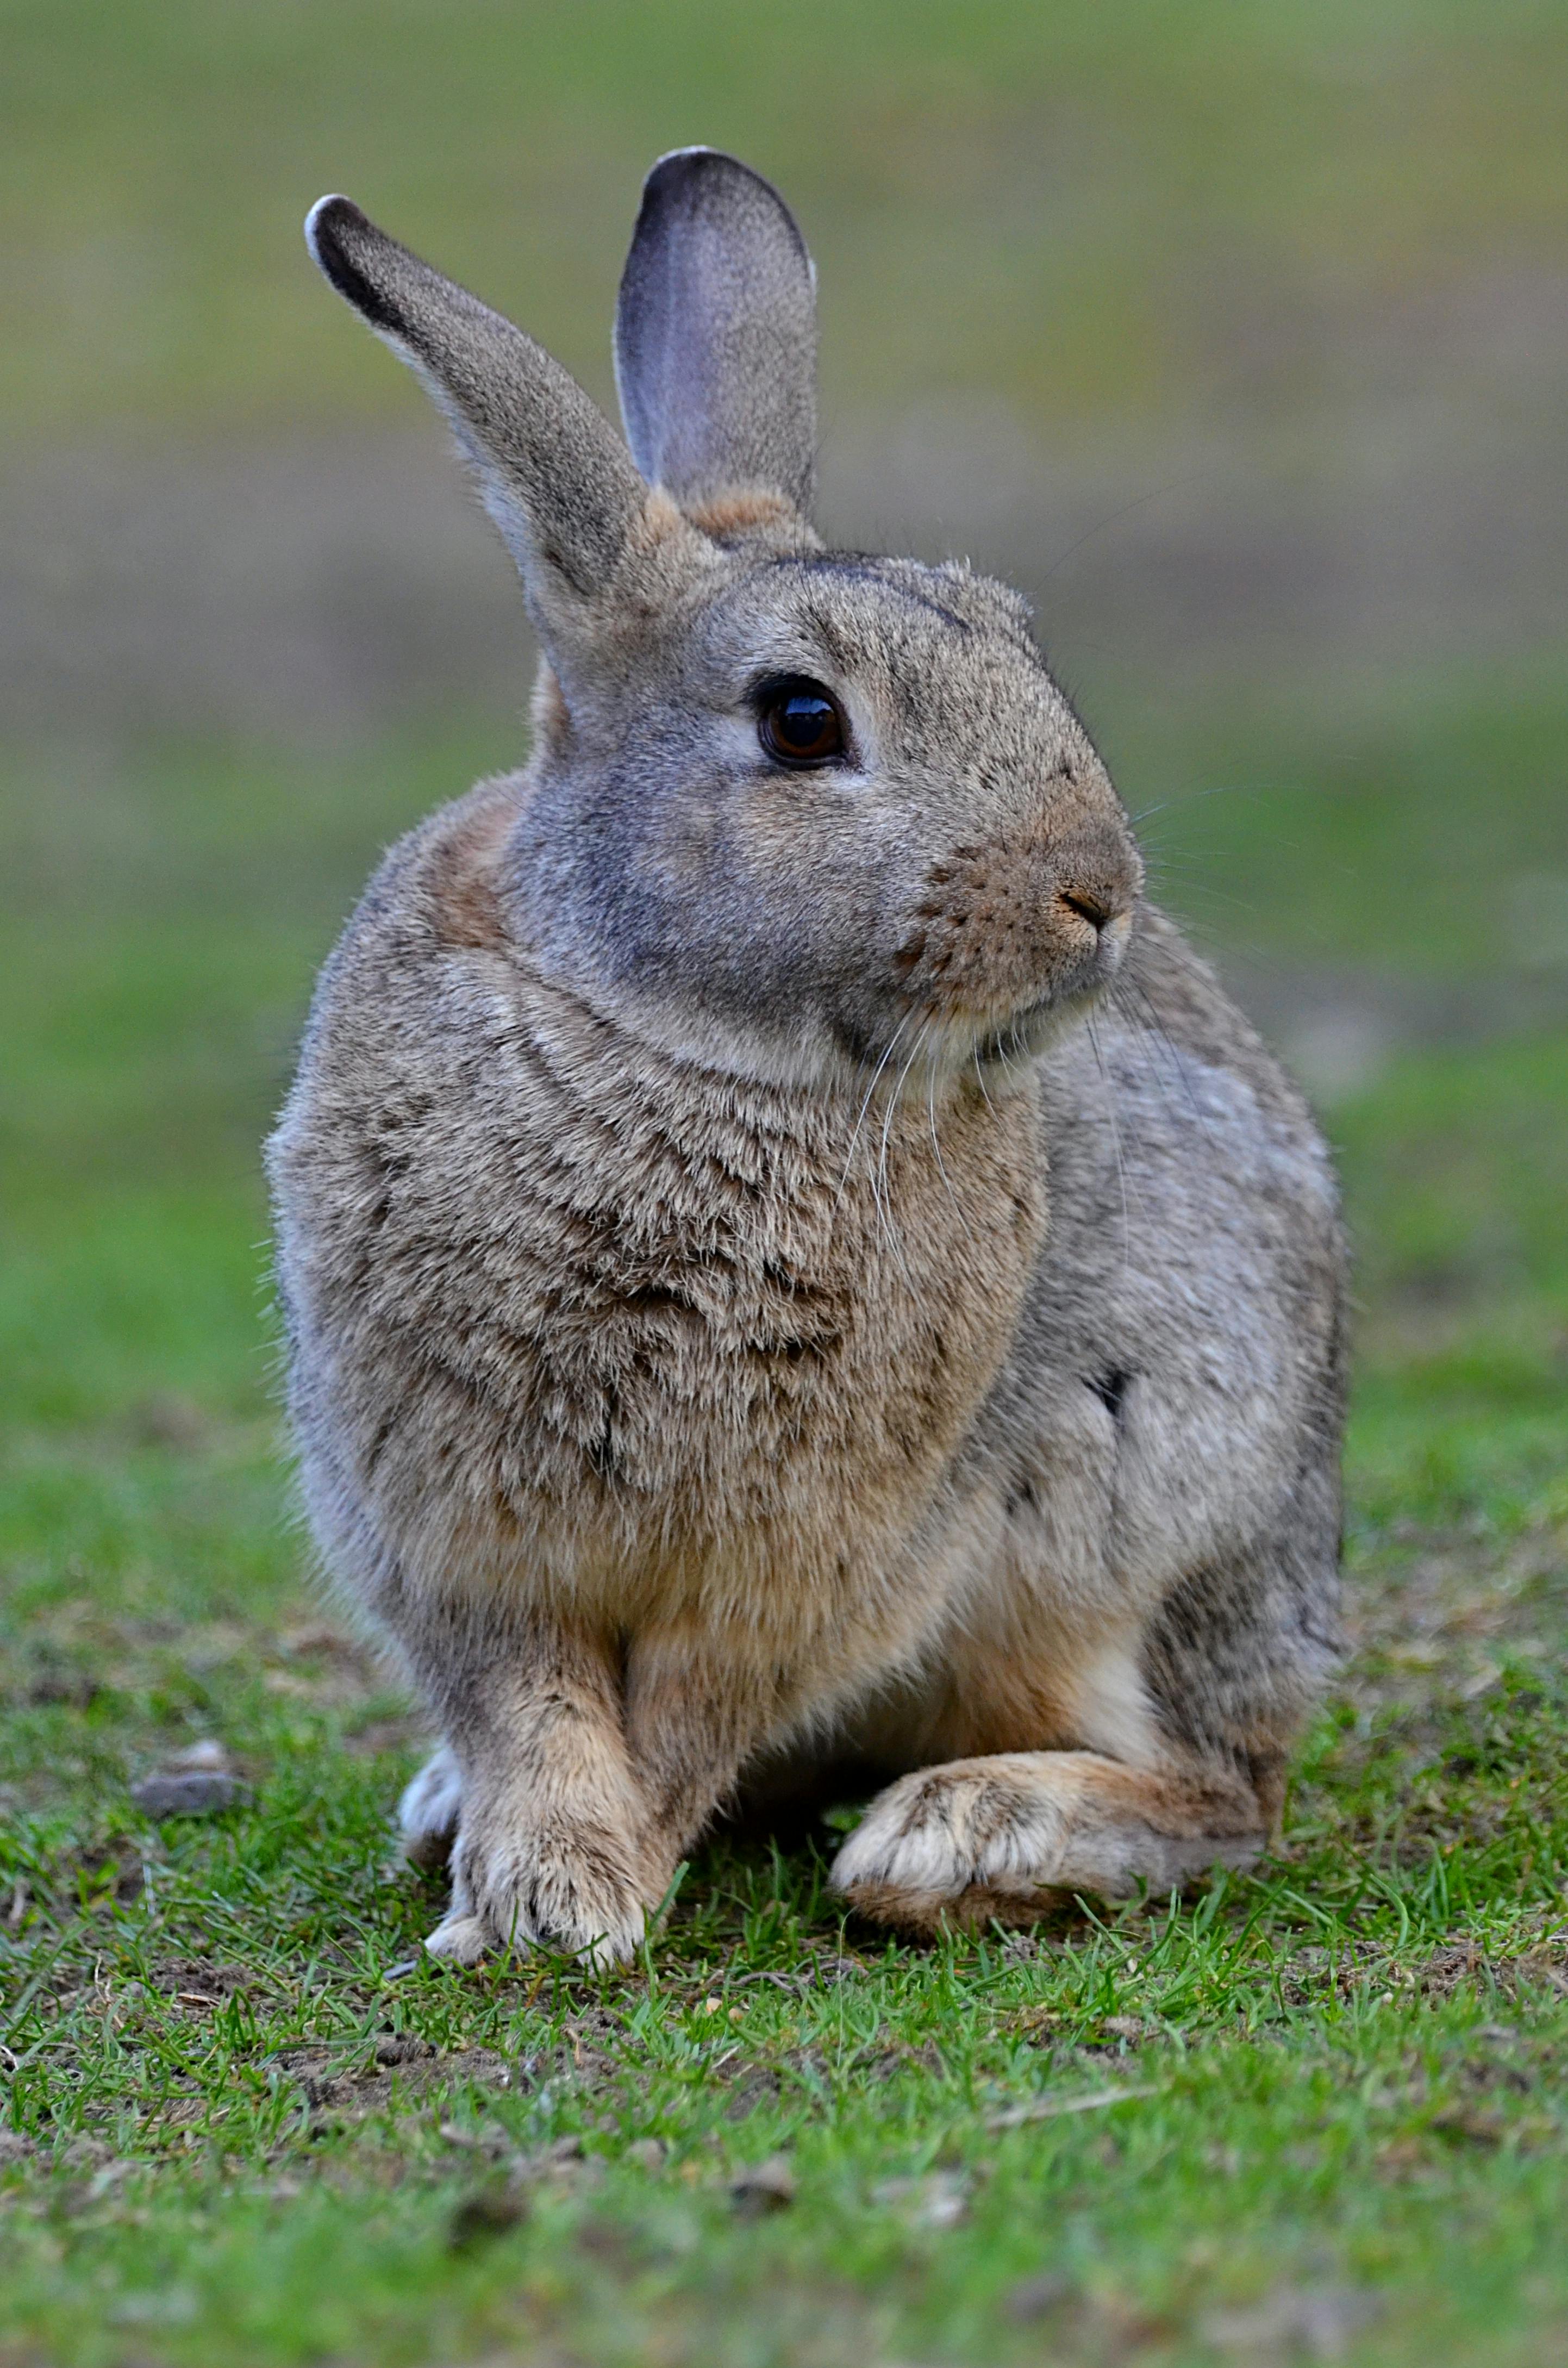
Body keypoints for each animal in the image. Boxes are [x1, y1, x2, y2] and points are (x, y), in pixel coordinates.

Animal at [268, 148, 1347, 1967]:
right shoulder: (454, 1527)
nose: (1097, 892)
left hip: (1160, 1505)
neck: (677, 1039)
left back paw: (959, 1838)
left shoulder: (813, 1548)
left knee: (1224, 1796)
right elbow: (525, 1700)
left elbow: (692, 1714)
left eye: (1015, 640)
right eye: (798, 721)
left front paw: (581, 1894)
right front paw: (536, 1885)